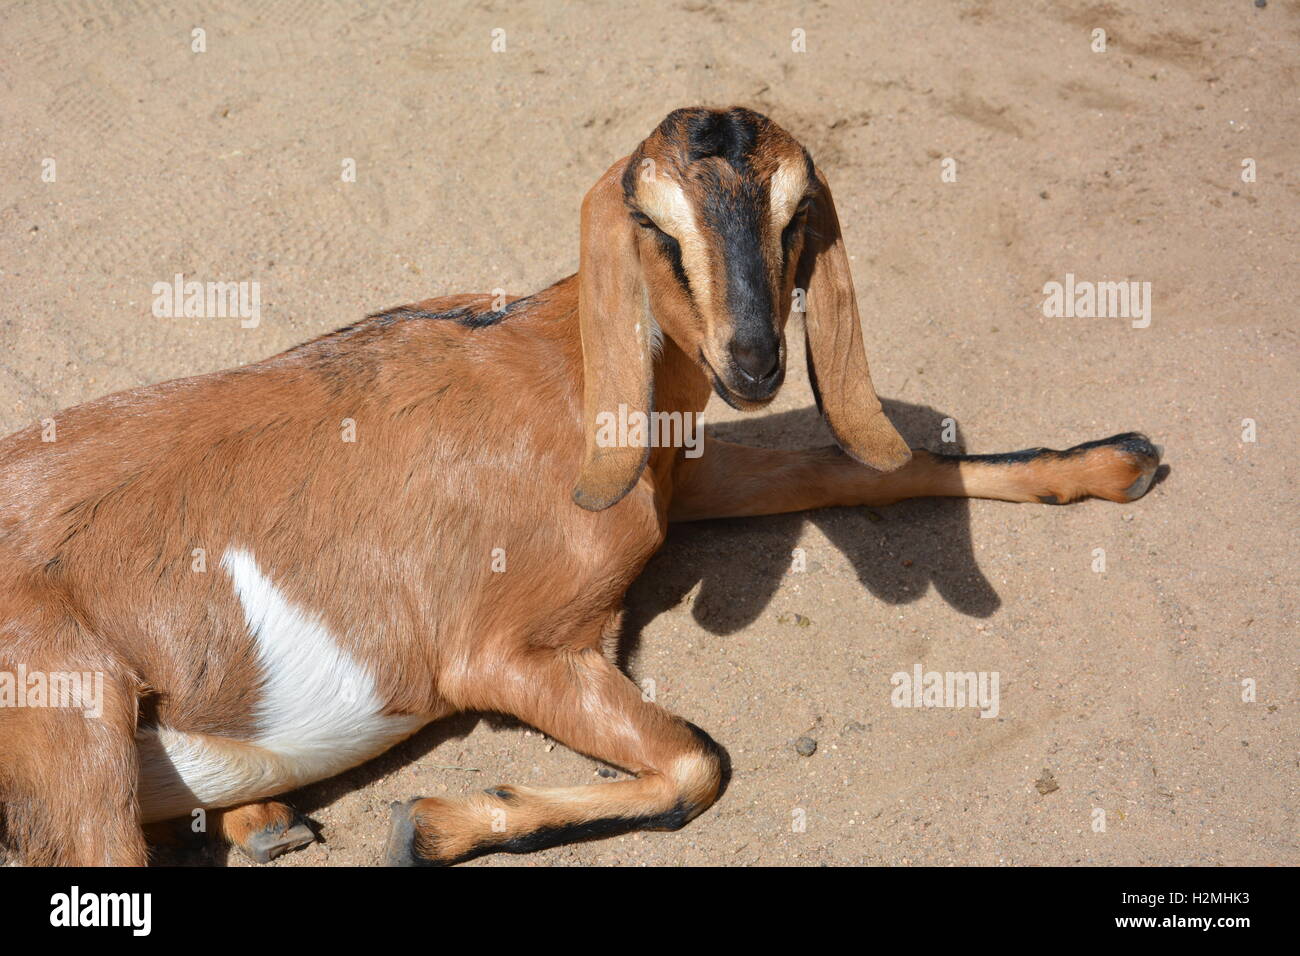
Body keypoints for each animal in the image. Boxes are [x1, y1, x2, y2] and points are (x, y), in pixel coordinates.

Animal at [0, 107, 1161, 866]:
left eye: (795, 214)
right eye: (654, 222)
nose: (753, 363)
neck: (560, 363)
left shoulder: (685, 482)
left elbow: (869, 468)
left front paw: (1122, 459)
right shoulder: (506, 653)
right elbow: (697, 763)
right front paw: (430, 825)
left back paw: (265, 821)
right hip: (74, 737)